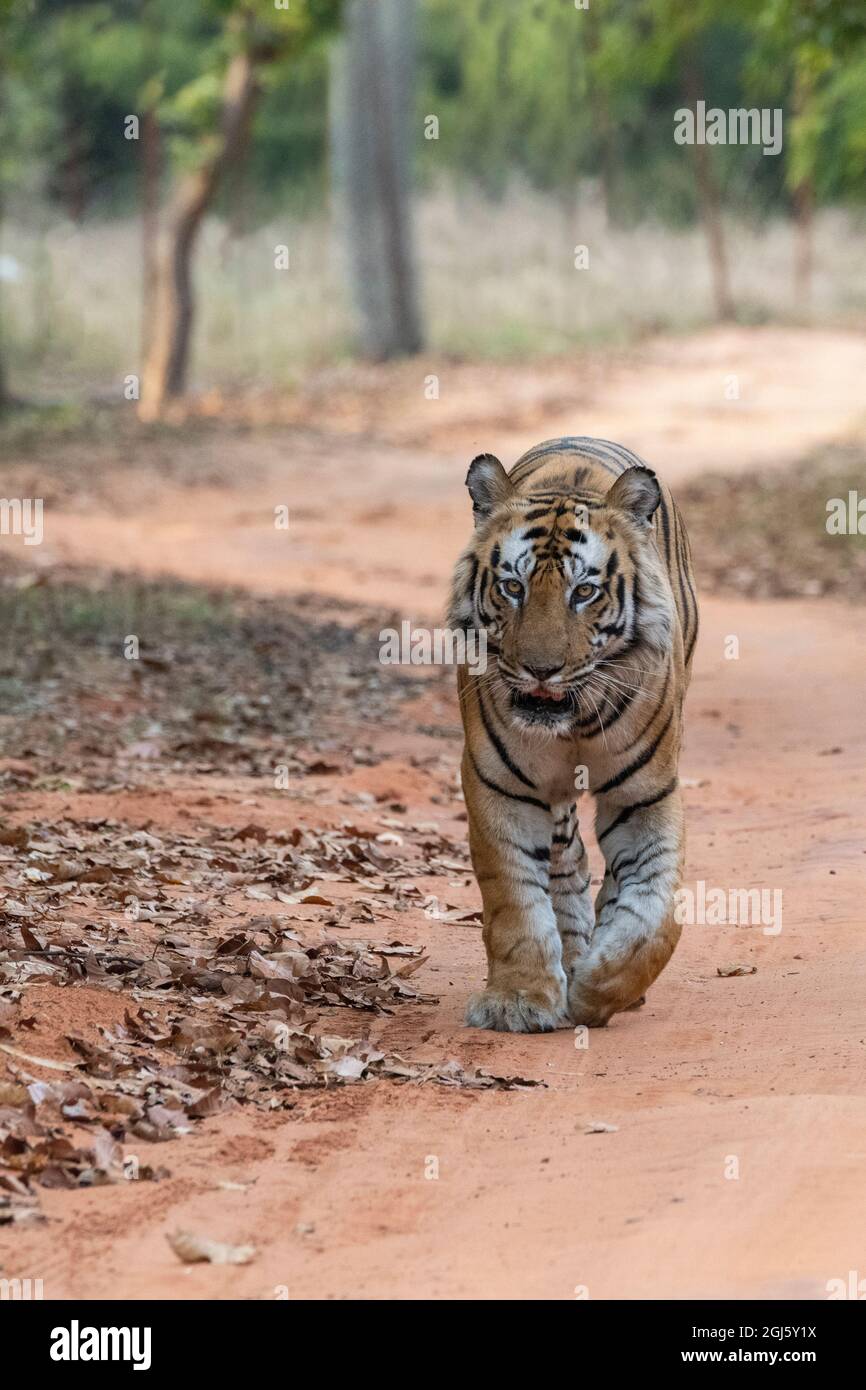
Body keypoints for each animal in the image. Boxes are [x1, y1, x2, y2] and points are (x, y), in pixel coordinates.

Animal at [448, 436, 698, 1032]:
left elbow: (656, 912)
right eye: (512, 587)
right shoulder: (500, 785)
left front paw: (600, 989)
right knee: (567, 862)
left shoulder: (646, 794)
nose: (541, 670)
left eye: (583, 592)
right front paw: (518, 1000)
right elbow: (514, 895)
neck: (575, 719)